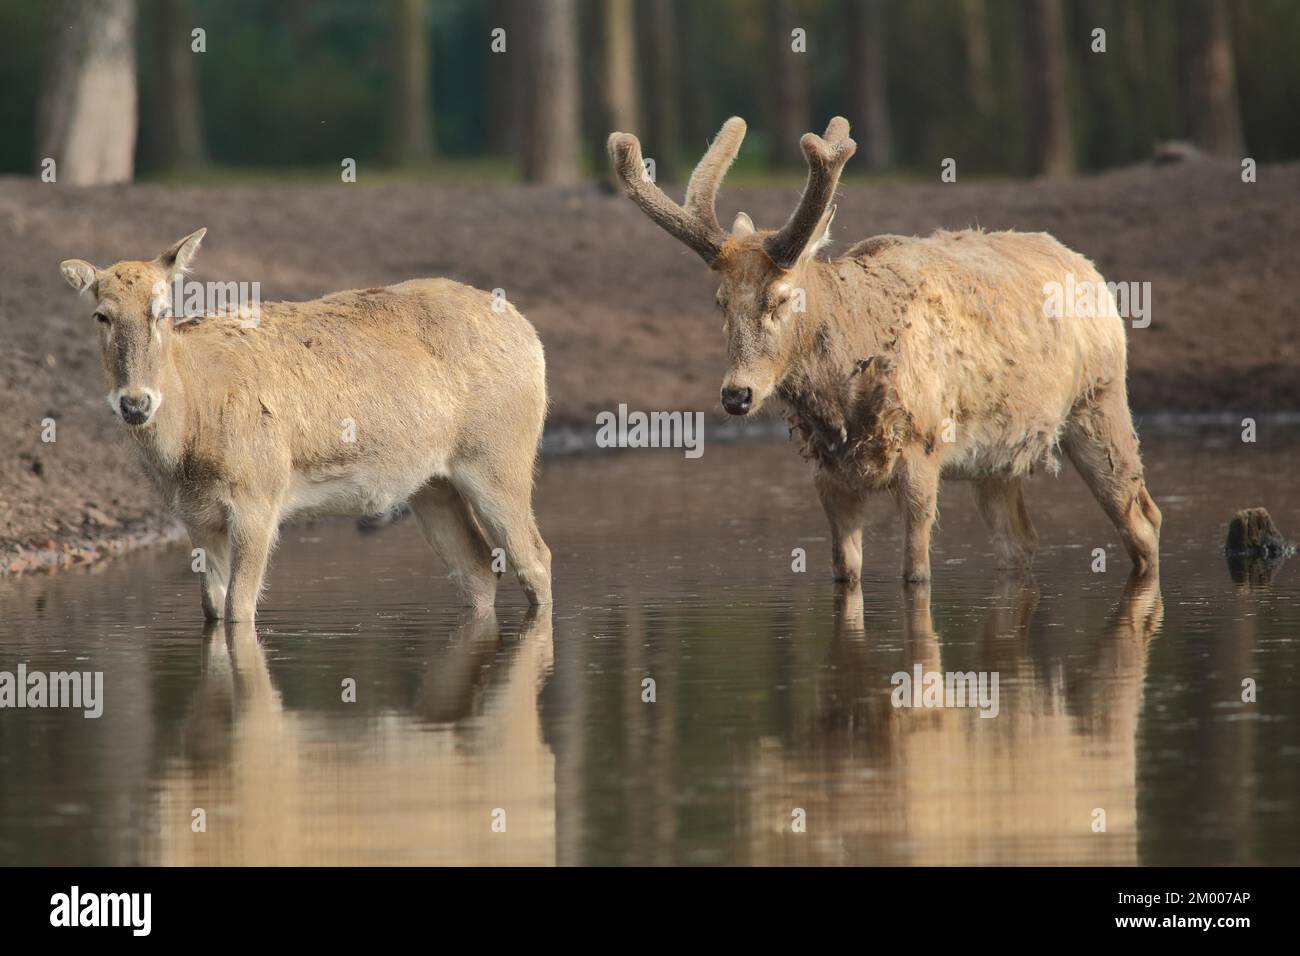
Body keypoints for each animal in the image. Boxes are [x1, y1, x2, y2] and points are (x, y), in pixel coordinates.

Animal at [59, 229, 552, 622]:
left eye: (160, 310)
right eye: (101, 314)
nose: (135, 403)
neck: (189, 441)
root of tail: (532, 337)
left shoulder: (259, 495)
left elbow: (240, 608)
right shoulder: (194, 518)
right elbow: (213, 607)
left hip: (499, 458)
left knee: (535, 558)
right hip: (433, 485)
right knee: (478, 567)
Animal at [608, 117, 1161, 585]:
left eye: (781, 298)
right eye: (719, 301)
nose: (736, 395)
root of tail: (1091, 272)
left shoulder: (923, 446)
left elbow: (915, 572)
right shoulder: (828, 474)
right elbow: (844, 572)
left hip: (1100, 400)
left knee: (1144, 520)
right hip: (998, 461)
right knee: (1021, 543)